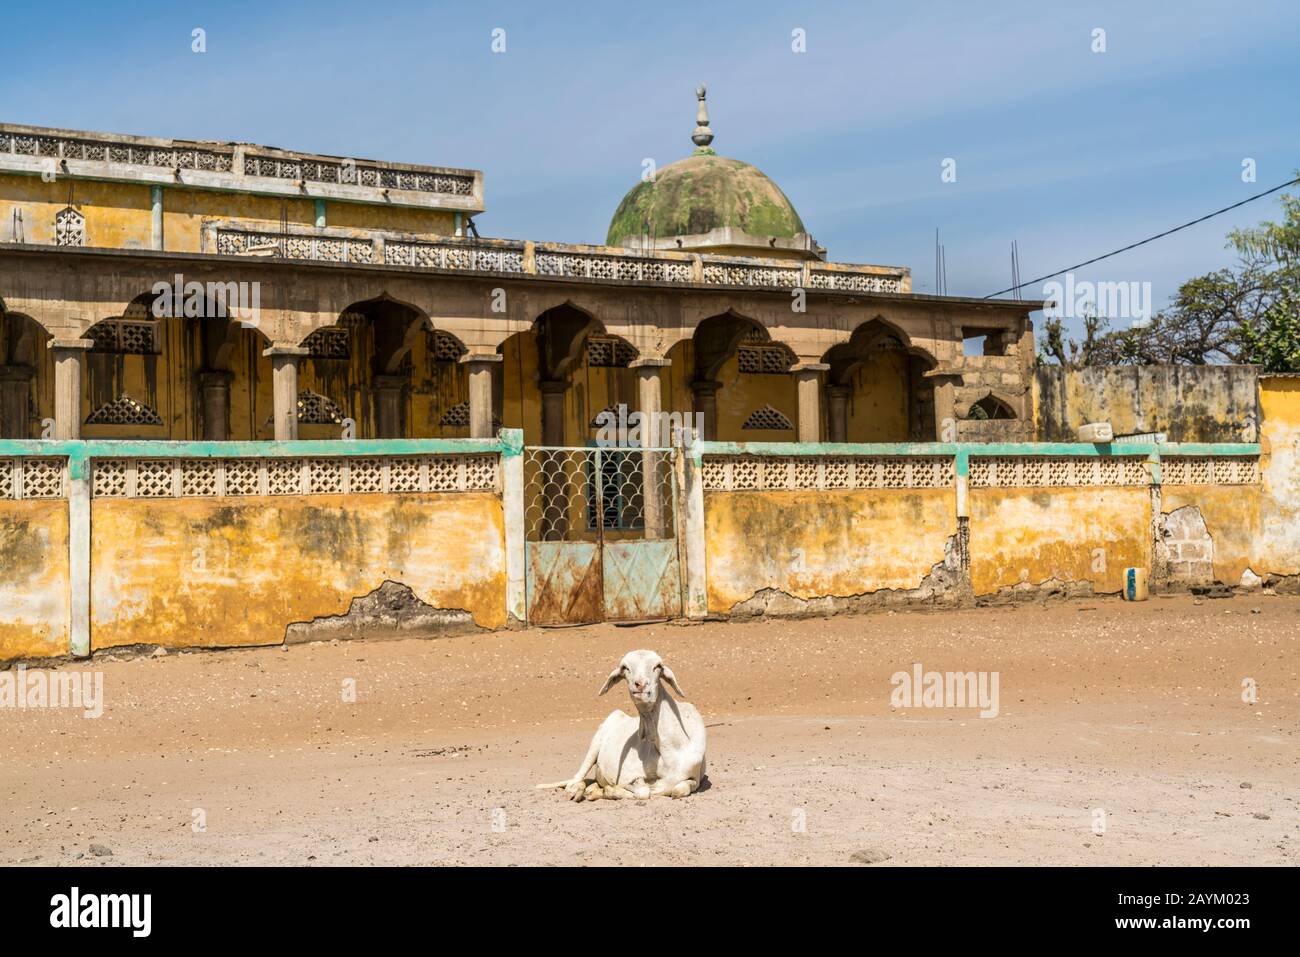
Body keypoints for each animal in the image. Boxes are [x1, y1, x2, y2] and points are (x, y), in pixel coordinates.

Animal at [537, 649, 706, 801]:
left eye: (657, 666)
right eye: (625, 668)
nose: (640, 685)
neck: (672, 748)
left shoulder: (696, 779)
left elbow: (678, 790)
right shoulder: (627, 775)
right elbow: (643, 792)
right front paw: (611, 790)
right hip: (596, 742)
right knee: (575, 781)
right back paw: (578, 792)